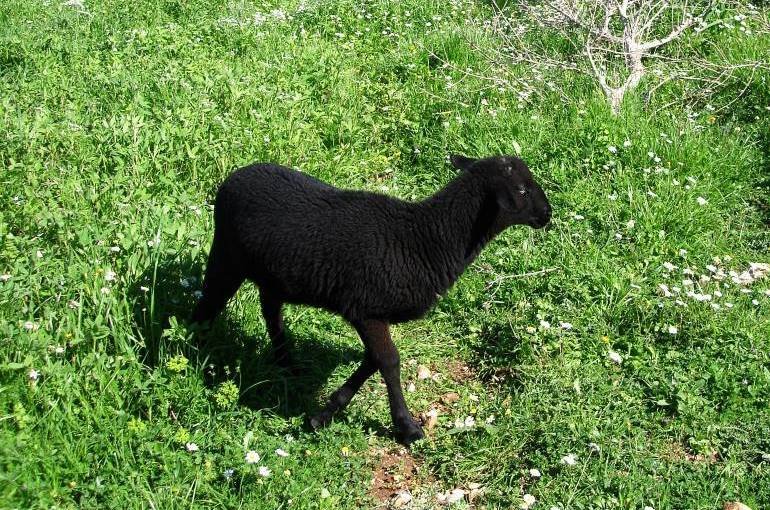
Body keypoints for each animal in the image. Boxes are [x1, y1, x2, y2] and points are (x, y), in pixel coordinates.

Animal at [191, 154, 552, 445]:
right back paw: (197, 358)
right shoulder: (368, 310)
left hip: (273, 275)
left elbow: (371, 360)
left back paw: (287, 364)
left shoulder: (373, 313)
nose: (547, 214)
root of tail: (236, 176)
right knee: (207, 305)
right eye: (522, 190)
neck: (425, 240)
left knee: (270, 313)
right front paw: (407, 428)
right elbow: (388, 361)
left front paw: (324, 414)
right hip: (227, 256)